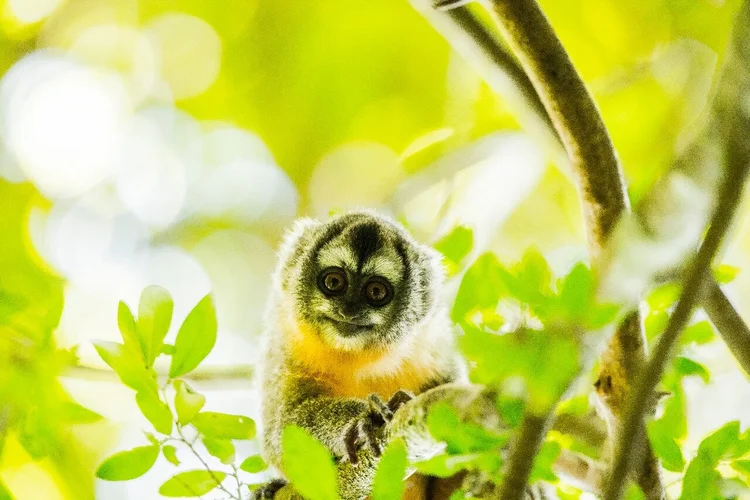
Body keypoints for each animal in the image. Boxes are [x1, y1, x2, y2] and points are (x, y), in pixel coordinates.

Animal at [256, 210, 466, 499]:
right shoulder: (284, 340)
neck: (357, 354)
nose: (348, 311)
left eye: (376, 291)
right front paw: (364, 419)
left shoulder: (434, 342)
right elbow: (282, 430)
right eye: (334, 282)